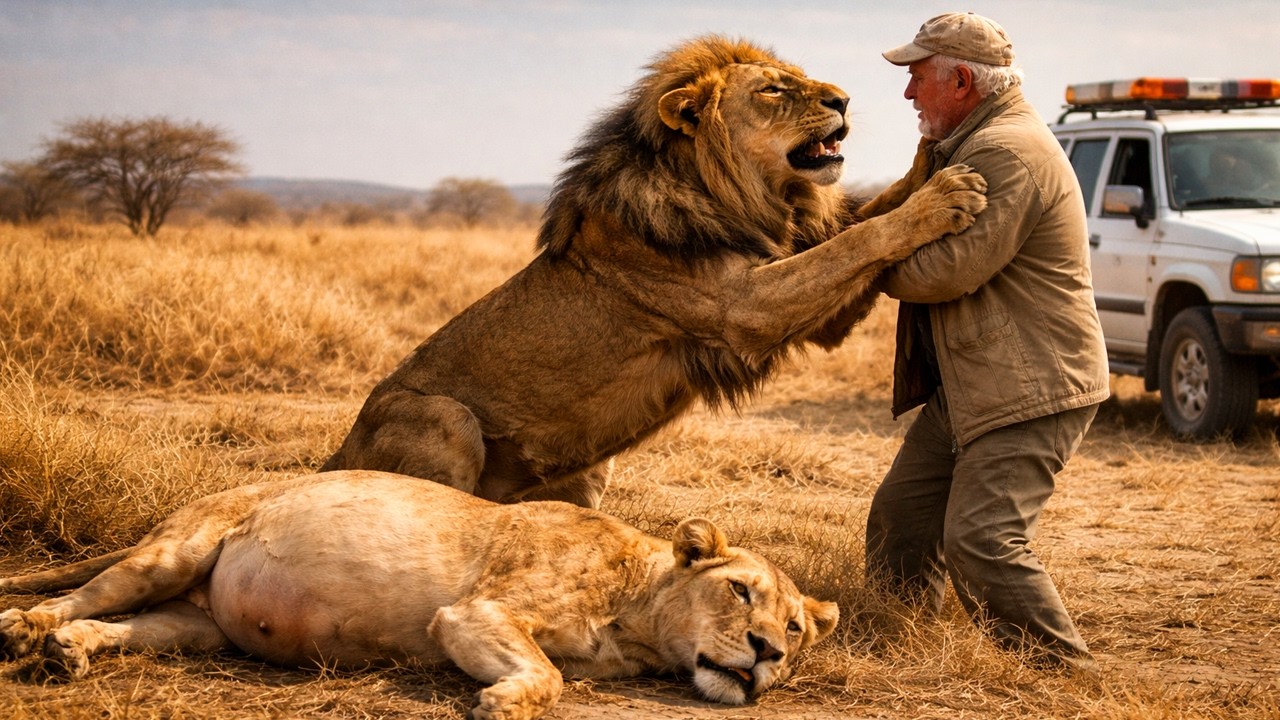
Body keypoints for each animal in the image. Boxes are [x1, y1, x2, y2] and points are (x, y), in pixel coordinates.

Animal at [0, 470, 839, 719]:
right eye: (740, 591)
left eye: (795, 629)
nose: (766, 653)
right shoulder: (472, 612)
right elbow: (548, 674)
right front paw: (503, 703)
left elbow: (557, 671)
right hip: (175, 552)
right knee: (86, 595)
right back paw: (28, 629)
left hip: (198, 624)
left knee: (130, 626)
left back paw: (69, 654)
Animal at [319, 36, 987, 507]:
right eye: (773, 91)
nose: (844, 100)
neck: (747, 196)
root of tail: (333, 456)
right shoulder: (746, 308)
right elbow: (857, 240)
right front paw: (944, 195)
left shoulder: (804, 304)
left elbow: (865, 221)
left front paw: (927, 154)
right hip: (444, 418)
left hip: (591, 469)